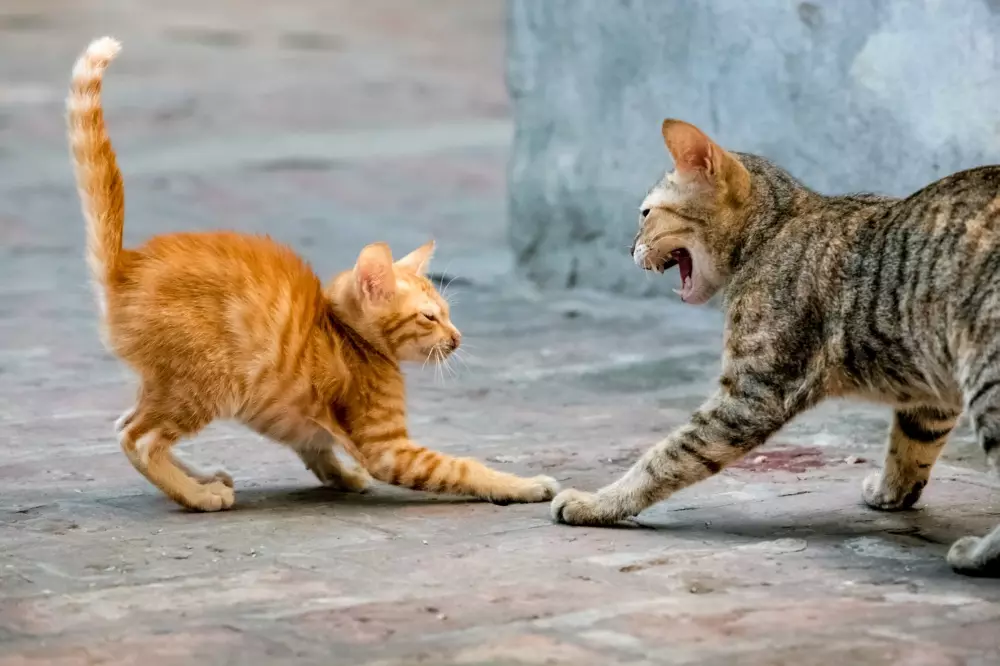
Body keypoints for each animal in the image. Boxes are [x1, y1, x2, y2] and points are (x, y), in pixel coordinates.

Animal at [66, 37, 560, 508]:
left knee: (124, 425)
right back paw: (198, 495)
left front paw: (342, 475)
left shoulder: (297, 419)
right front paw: (523, 485)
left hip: (171, 385)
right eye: (429, 317)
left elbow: (318, 448)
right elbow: (463, 468)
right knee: (139, 438)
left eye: (447, 313)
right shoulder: (388, 448)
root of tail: (125, 264)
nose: (457, 338)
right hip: (206, 383)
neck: (347, 335)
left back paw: (201, 475)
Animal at [552, 116, 1000, 572]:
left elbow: (668, 455)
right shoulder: (929, 384)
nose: (630, 248)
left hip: (987, 377)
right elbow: (910, 445)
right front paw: (890, 492)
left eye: (646, 213)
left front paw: (598, 502)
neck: (772, 232)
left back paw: (976, 555)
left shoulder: (754, 393)